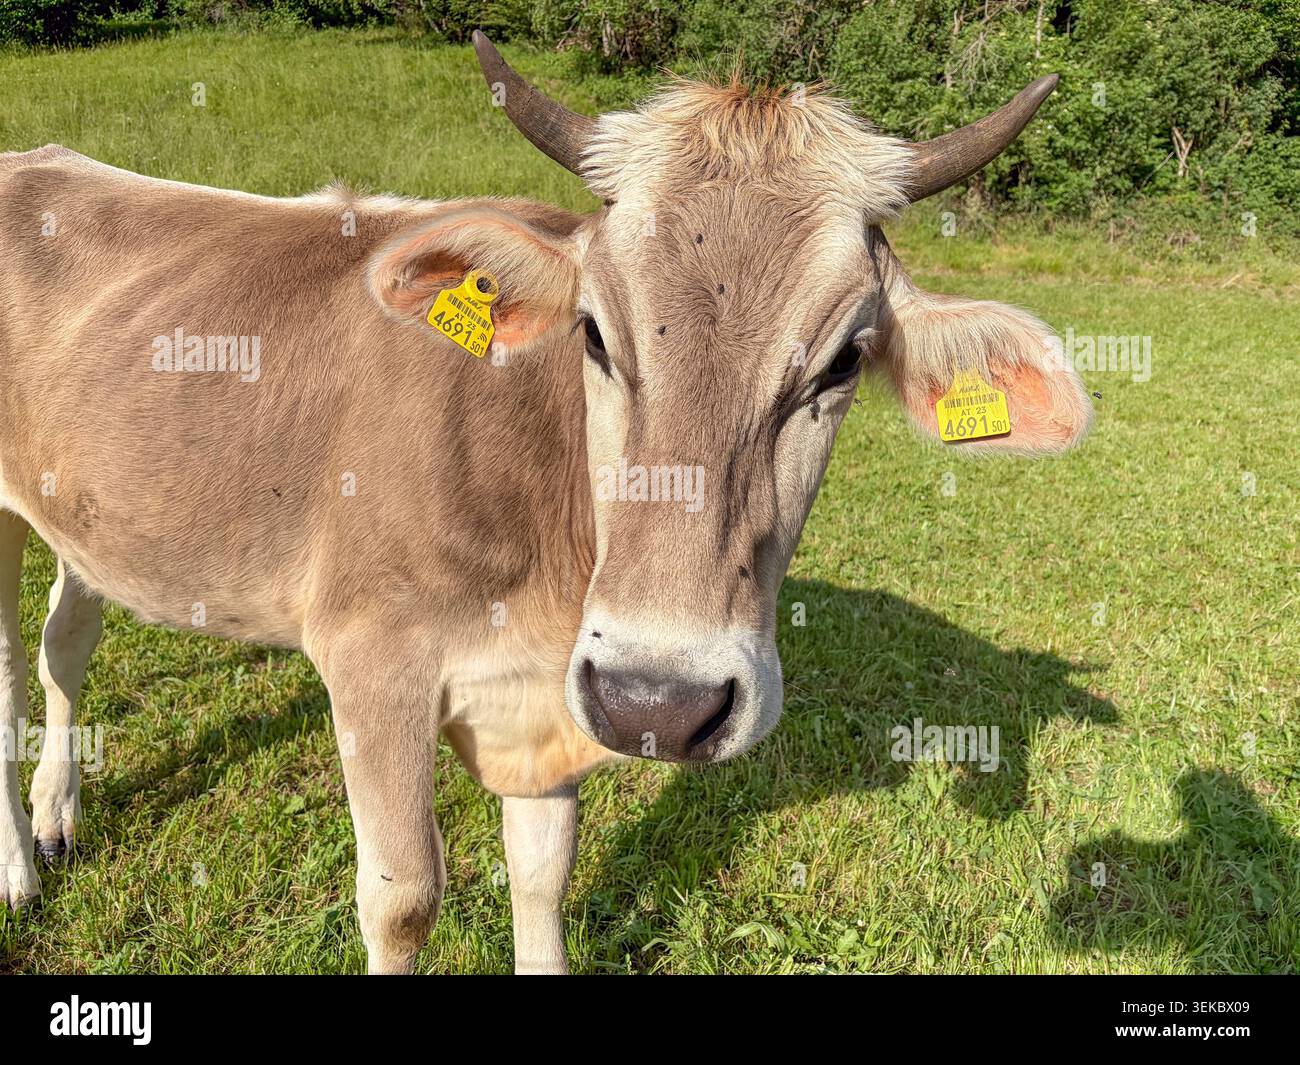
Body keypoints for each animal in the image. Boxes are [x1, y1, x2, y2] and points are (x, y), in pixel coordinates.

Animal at [0, 32, 1091, 973]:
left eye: (843, 361)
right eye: (595, 333)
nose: (663, 701)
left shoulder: (556, 693)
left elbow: (541, 875)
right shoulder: (370, 663)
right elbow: (402, 899)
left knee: (66, 637)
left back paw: (58, 813)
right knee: (11, 668)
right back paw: (18, 871)